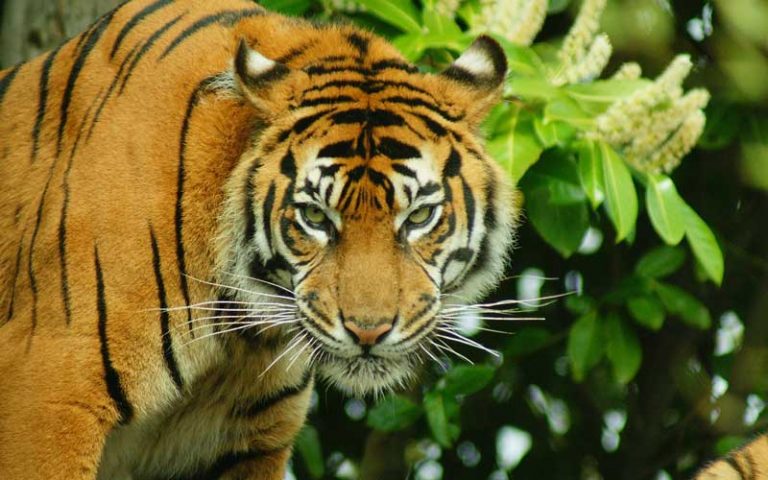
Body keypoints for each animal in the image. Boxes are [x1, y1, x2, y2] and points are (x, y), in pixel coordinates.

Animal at [0, 0, 519, 478]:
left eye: (420, 216)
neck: (241, 332)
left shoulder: (244, 441)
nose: (369, 333)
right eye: (315, 216)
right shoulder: (50, 396)